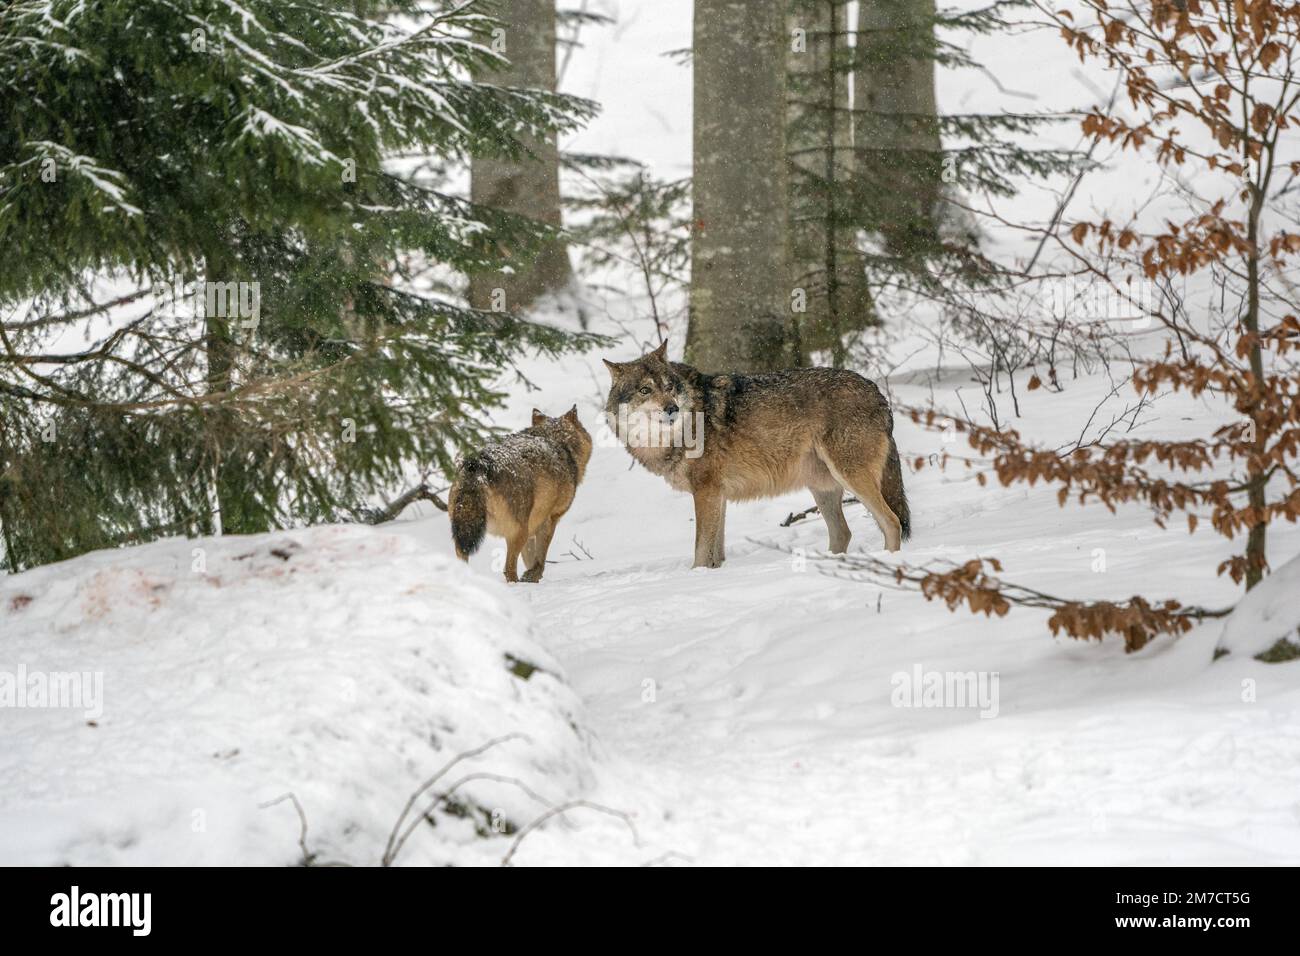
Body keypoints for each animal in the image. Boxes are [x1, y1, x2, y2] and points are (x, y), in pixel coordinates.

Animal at [448, 406, 592, 583]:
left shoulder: (532, 529)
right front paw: (532, 576)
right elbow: (540, 559)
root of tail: (479, 462)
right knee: (508, 569)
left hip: (464, 532)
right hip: (518, 532)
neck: (558, 442)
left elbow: (530, 558)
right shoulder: (550, 519)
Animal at [603, 342, 910, 568]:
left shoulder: (706, 492)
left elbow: (701, 550)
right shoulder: (717, 495)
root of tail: (878, 393)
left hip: (850, 476)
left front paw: (696, 576)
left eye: (669, 387)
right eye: (645, 390)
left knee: (892, 522)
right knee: (842, 533)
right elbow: (716, 552)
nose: (671, 408)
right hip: (822, 487)